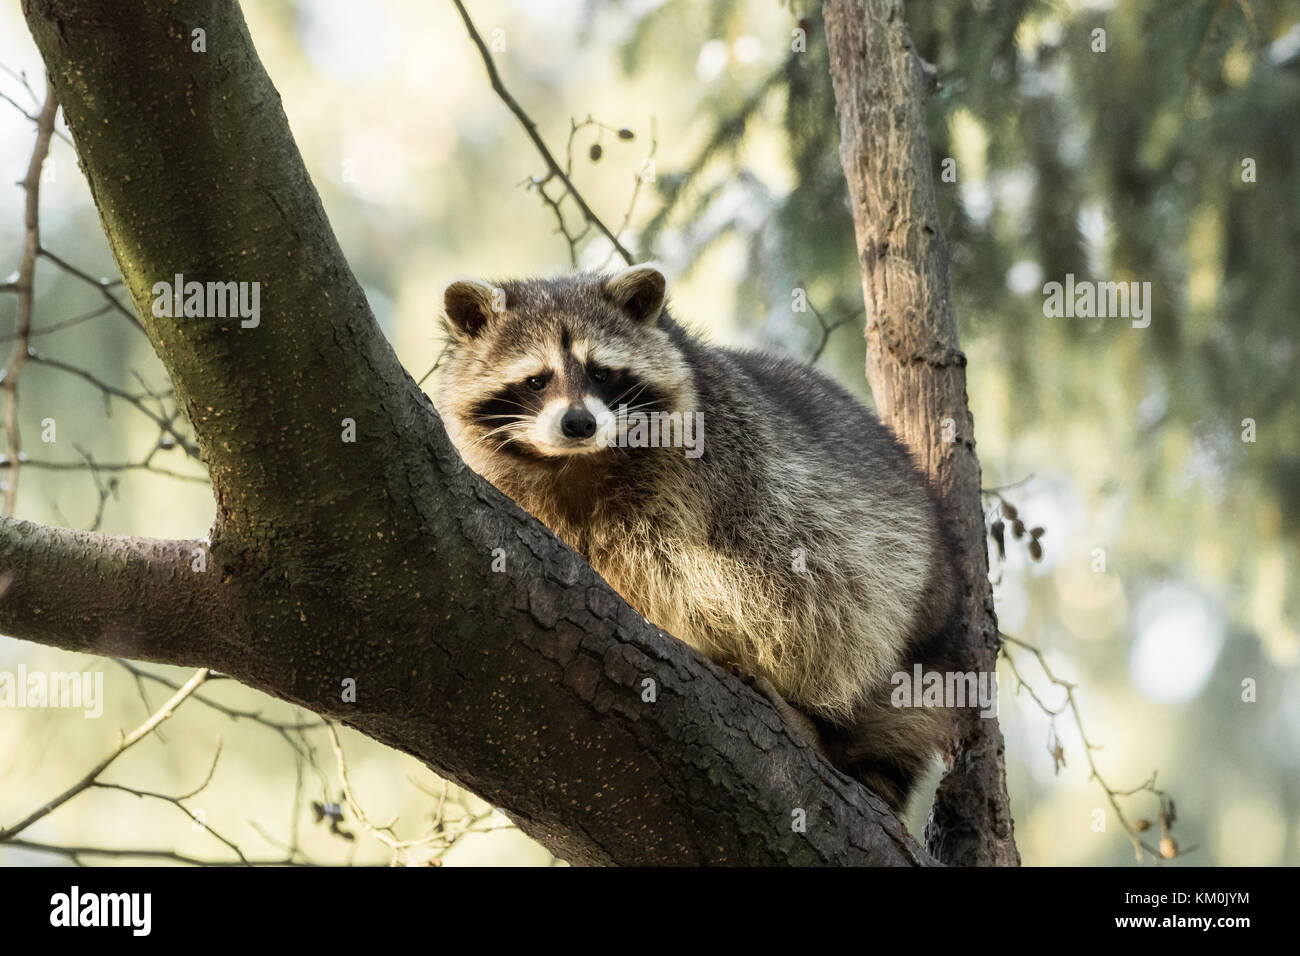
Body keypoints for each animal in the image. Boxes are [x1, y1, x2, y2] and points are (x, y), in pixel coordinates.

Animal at [435, 264, 961, 811]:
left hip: (896, 605)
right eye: (536, 380)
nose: (579, 423)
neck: (575, 464)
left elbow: (686, 578)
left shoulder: (706, 478)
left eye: (601, 372)